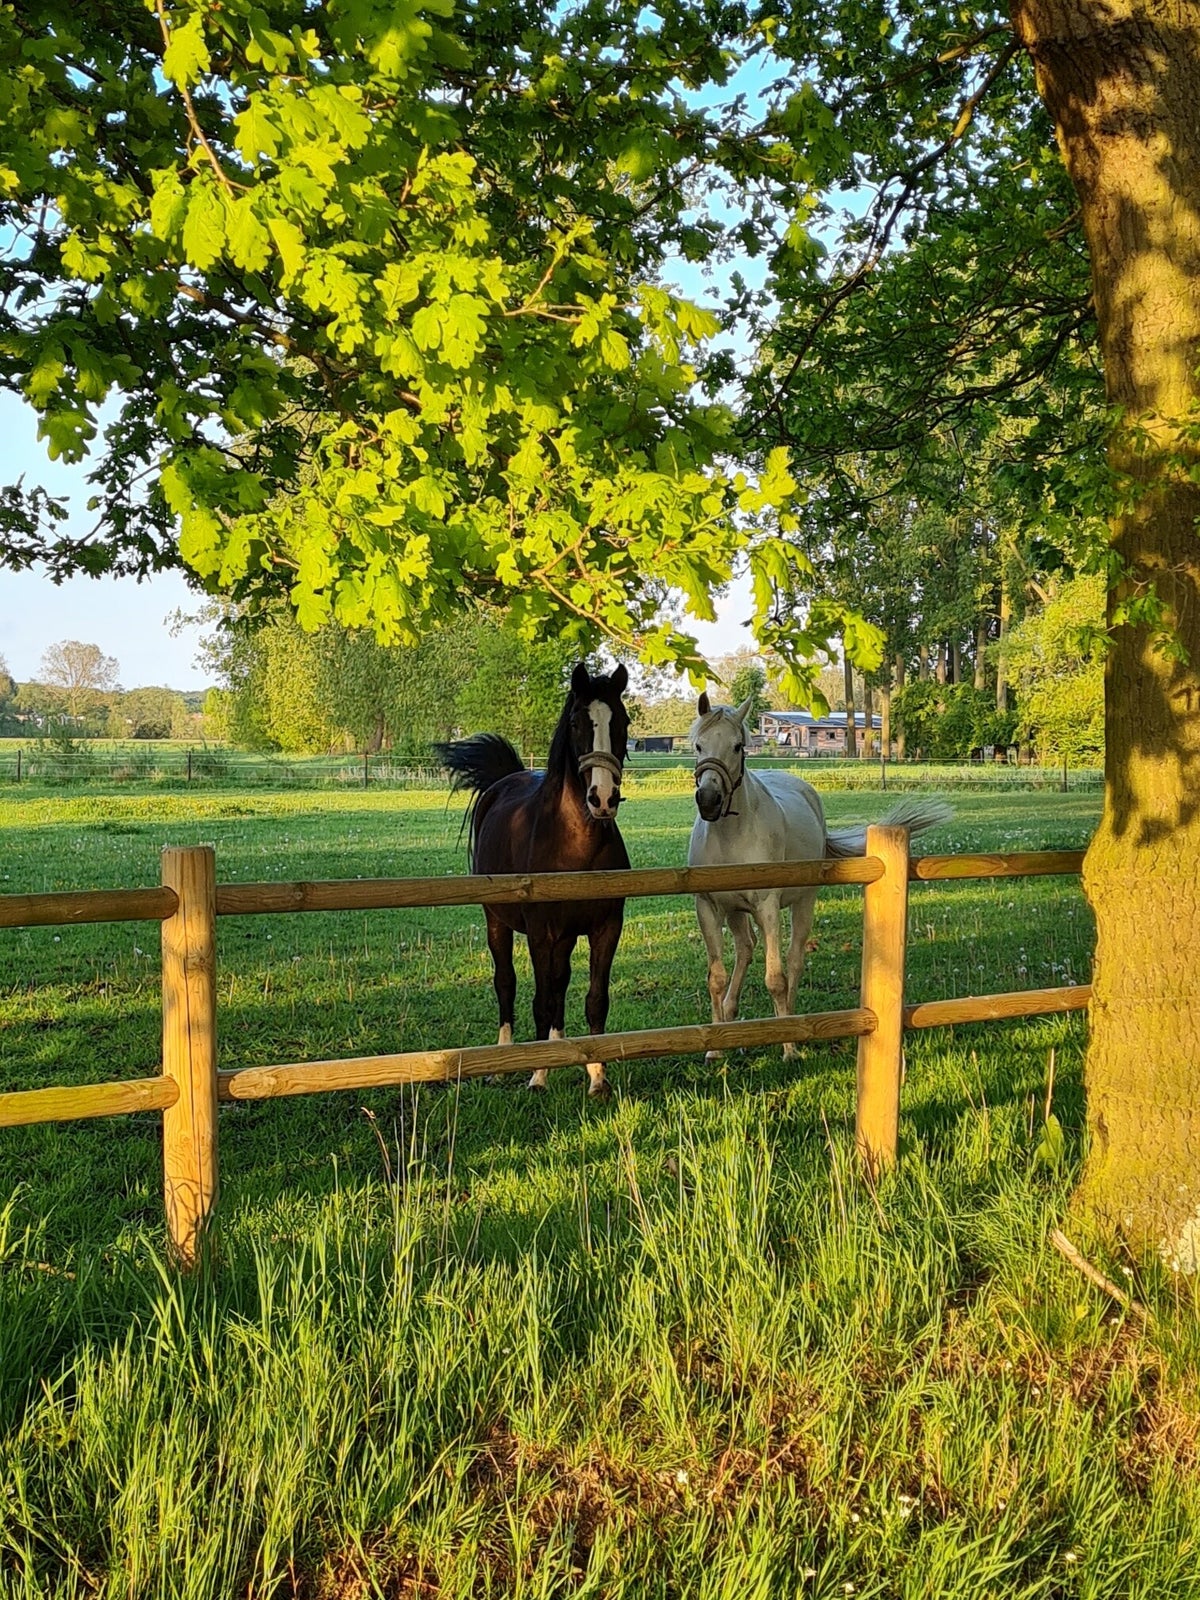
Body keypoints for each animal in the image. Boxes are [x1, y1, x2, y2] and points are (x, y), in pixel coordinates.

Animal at [434, 663, 631, 1098]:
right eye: (577, 722)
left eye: (623, 721)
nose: (603, 798)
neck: (575, 846)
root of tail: (505, 780)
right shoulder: (541, 932)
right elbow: (539, 999)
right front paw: (538, 1076)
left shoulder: (605, 929)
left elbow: (594, 999)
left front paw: (597, 1077)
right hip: (498, 922)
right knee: (507, 983)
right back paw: (504, 1063)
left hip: (565, 936)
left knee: (560, 983)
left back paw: (560, 1047)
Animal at [688, 692, 951, 1055]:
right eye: (699, 745)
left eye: (738, 746)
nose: (709, 800)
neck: (731, 835)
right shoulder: (709, 907)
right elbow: (716, 977)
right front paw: (714, 1048)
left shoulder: (768, 906)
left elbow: (776, 978)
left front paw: (787, 1047)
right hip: (736, 911)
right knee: (746, 949)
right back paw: (731, 1016)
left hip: (801, 903)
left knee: (794, 960)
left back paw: (789, 1026)